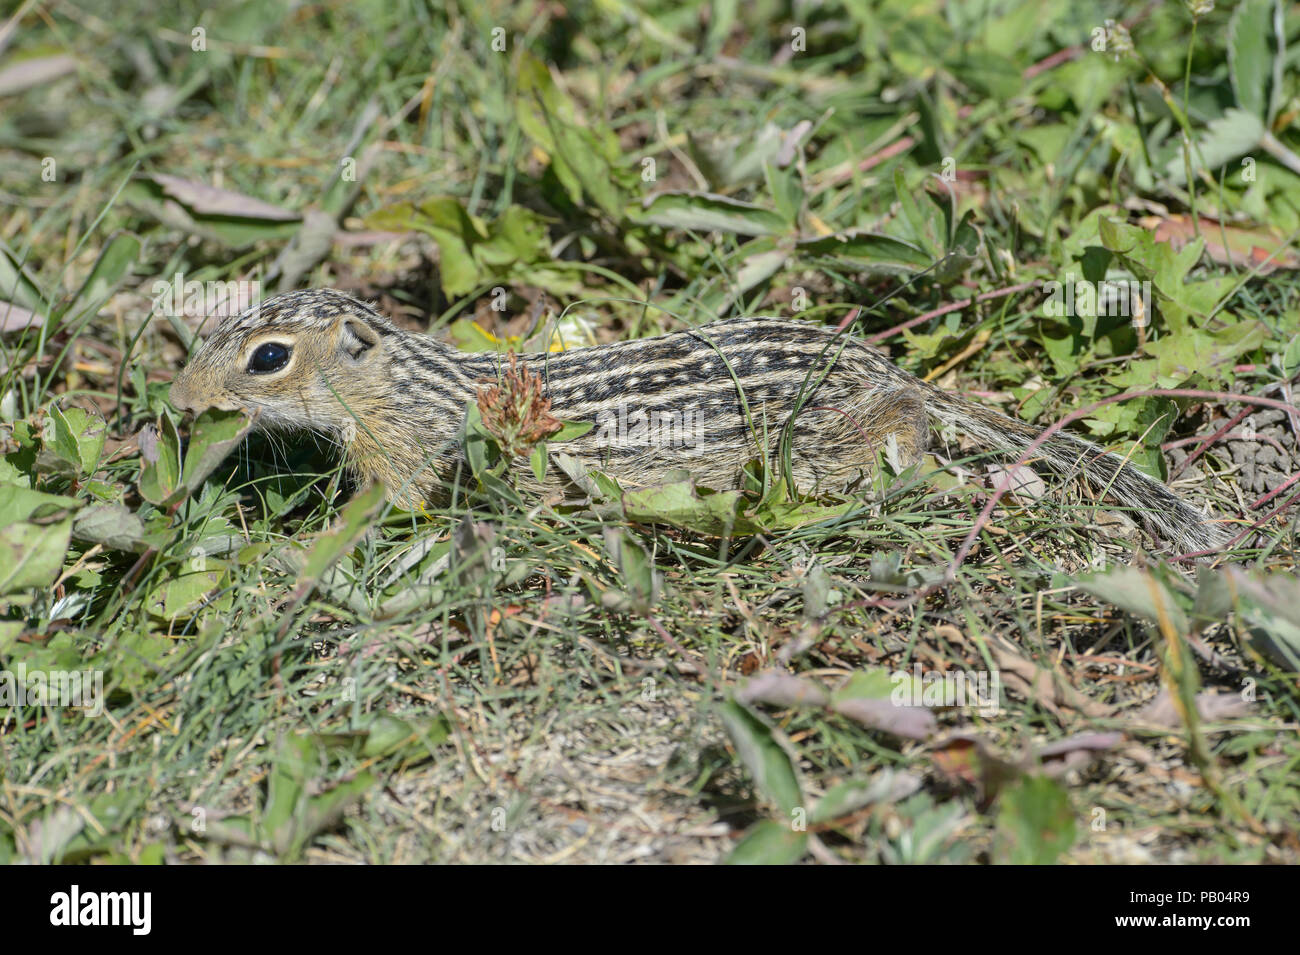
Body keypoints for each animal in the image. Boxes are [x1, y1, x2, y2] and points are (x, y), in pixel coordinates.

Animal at [168, 288, 1231, 554]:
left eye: (268, 358)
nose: (177, 399)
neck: (412, 383)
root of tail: (889, 366)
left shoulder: (408, 463)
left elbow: (382, 511)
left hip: (836, 446)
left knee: (908, 441)